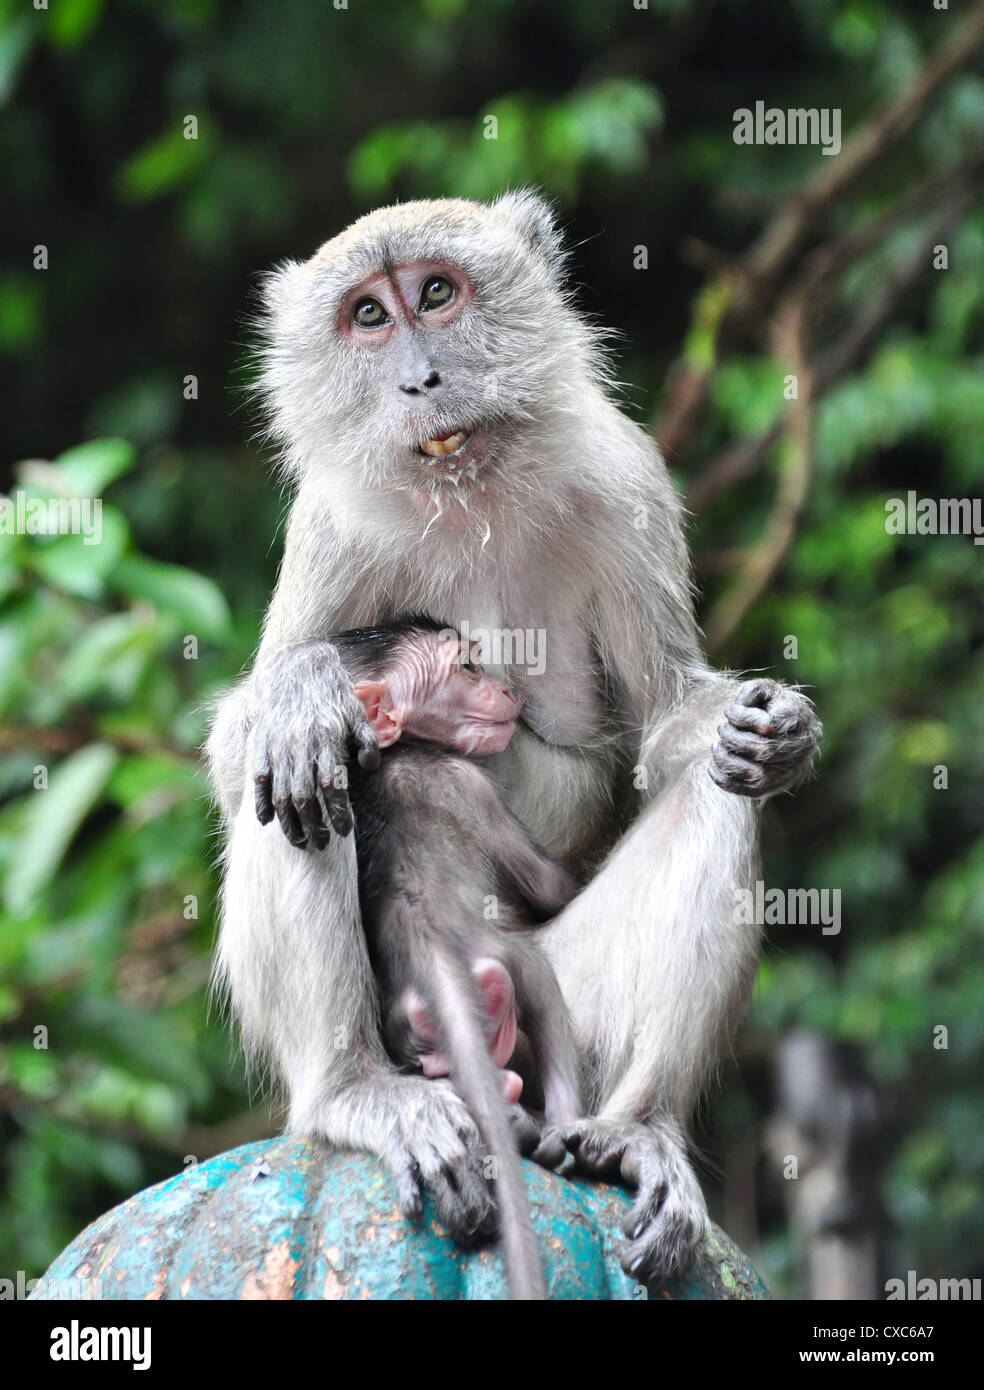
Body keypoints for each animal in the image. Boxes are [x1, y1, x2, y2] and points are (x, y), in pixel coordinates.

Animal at [330, 615, 582, 1299]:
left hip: (406, 1021)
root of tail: (434, 948)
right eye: (467, 668)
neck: (394, 754)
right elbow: (550, 886)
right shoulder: (468, 784)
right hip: (505, 956)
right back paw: (559, 1129)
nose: (508, 690)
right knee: (542, 985)